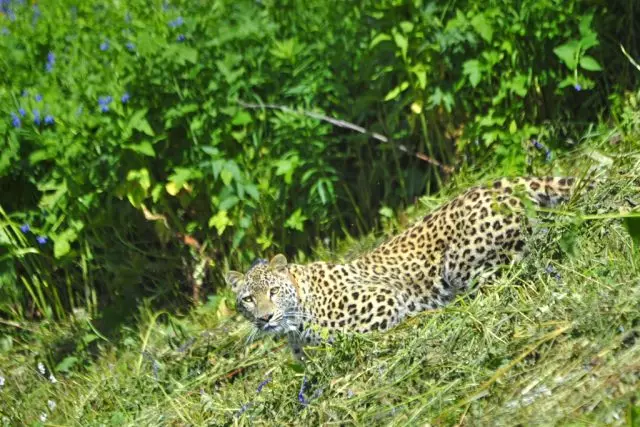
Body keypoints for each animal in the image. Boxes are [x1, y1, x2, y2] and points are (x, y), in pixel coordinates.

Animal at [225, 177, 592, 362]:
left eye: (273, 291)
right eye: (248, 299)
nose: (264, 318)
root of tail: (510, 181)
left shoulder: (383, 302)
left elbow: (349, 336)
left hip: (461, 264)